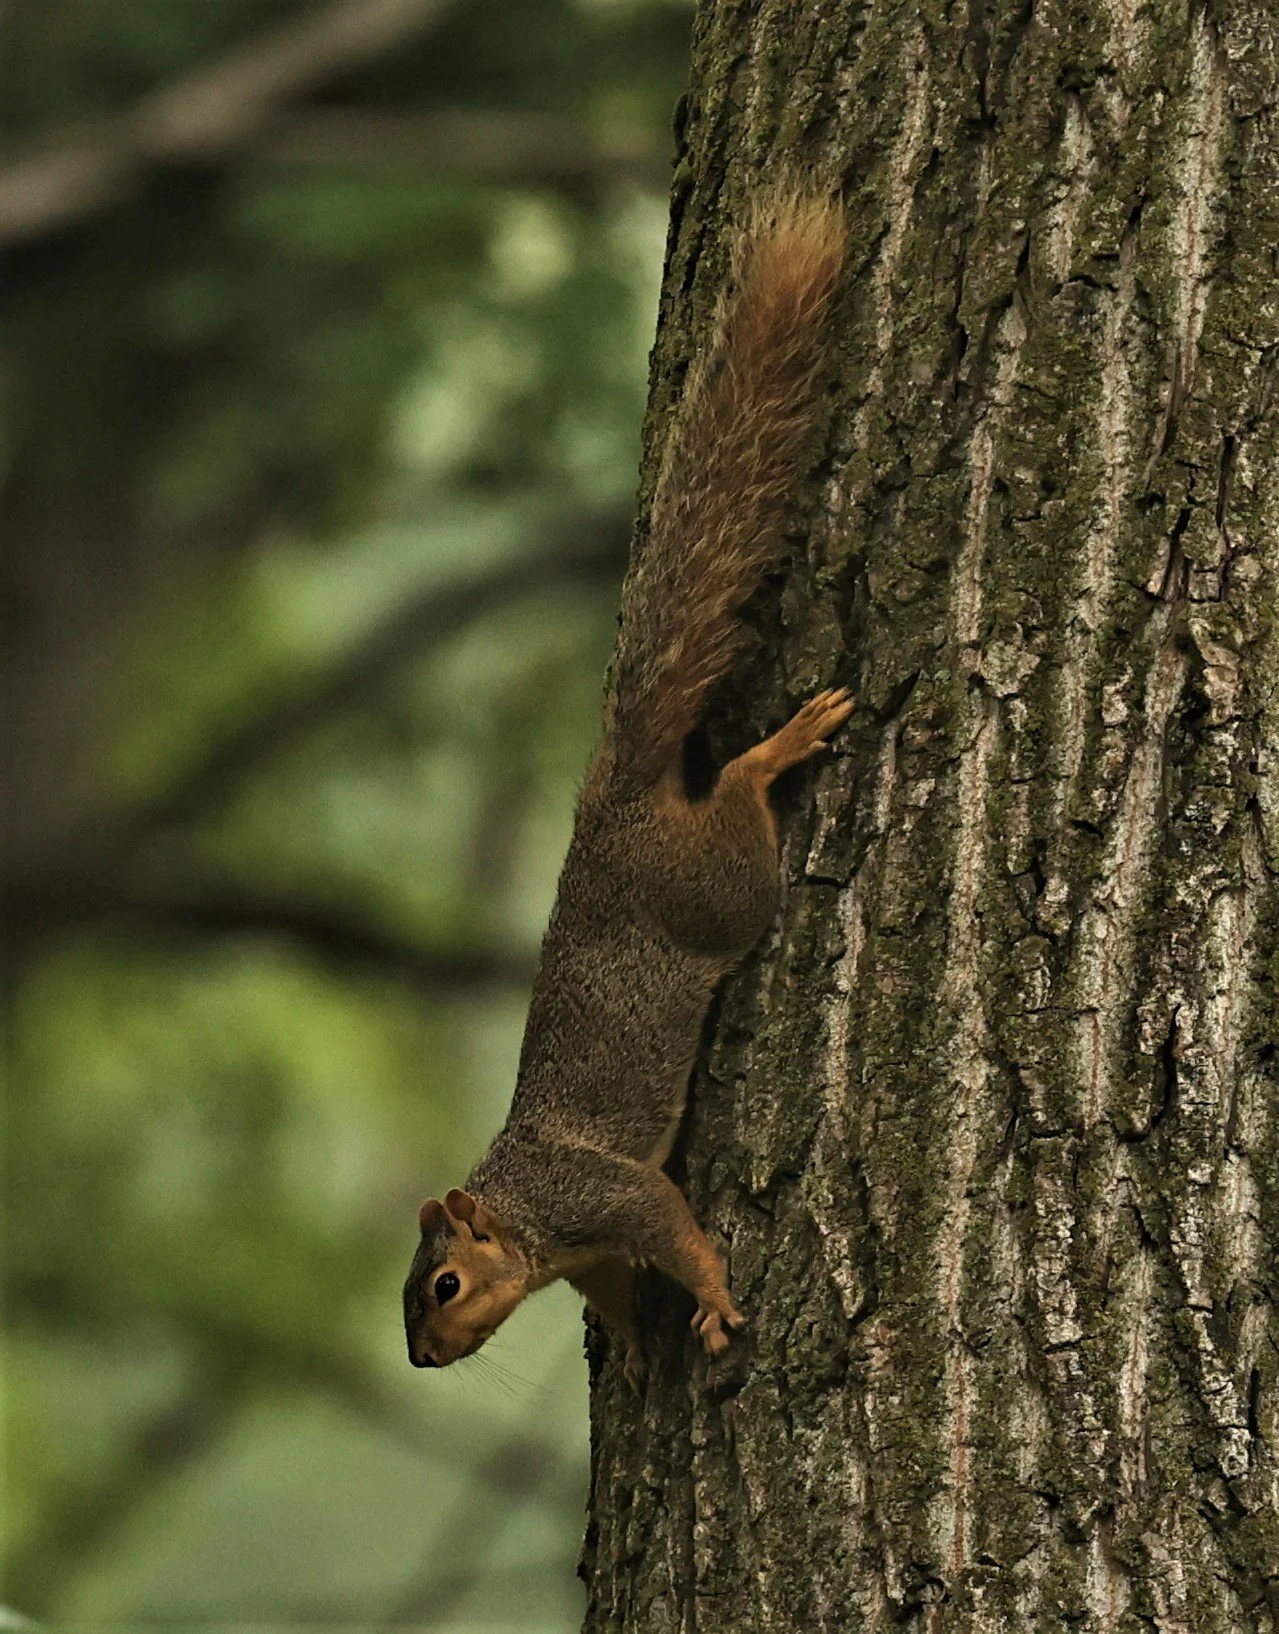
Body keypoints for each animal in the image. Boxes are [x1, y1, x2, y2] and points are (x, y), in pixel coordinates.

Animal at [404, 188, 849, 1390]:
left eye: (444, 1285)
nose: (423, 1360)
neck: (523, 1213)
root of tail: (609, 811)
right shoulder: (588, 1251)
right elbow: (616, 1286)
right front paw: (644, 1348)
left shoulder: (609, 1194)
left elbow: (673, 1228)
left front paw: (712, 1302)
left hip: (713, 888)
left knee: (737, 801)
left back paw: (777, 748)